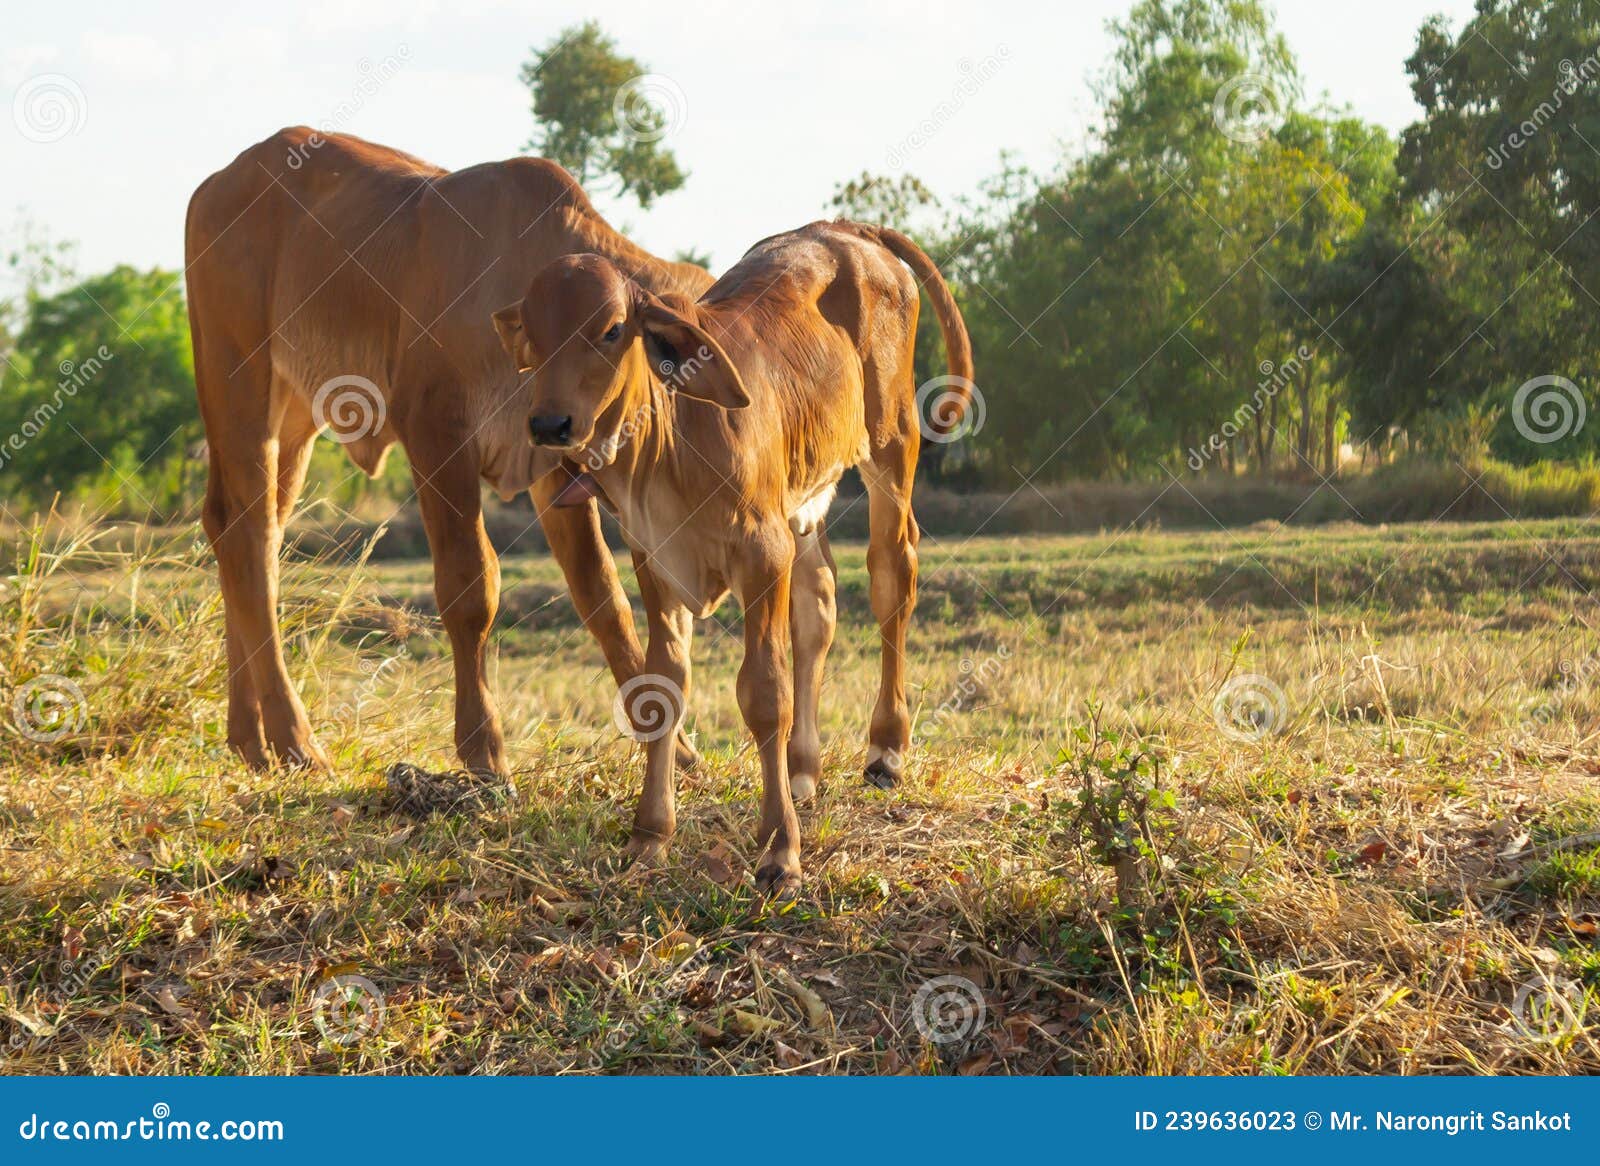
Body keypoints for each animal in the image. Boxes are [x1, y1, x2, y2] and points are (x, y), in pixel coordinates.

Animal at [185, 127, 708, 778]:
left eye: (613, 329)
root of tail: (219, 183)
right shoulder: (436, 437)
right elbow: (470, 587)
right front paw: (482, 747)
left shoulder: (552, 468)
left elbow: (602, 597)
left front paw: (675, 746)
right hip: (239, 387)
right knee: (251, 539)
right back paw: (293, 738)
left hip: (295, 417)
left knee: (241, 530)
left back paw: (250, 738)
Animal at [491, 221, 974, 895]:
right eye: (532, 334)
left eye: (611, 329)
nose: (550, 424)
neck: (668, 443)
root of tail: (839, 230)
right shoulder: (657, 560)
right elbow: (663, 688)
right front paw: (649, 835)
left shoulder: (761, 553)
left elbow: (765, 693)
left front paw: (779, 850)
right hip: (801, 502)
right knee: (819, 607)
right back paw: (803, 769)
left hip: (890, 444)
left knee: (892, 579)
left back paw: (886, 749)